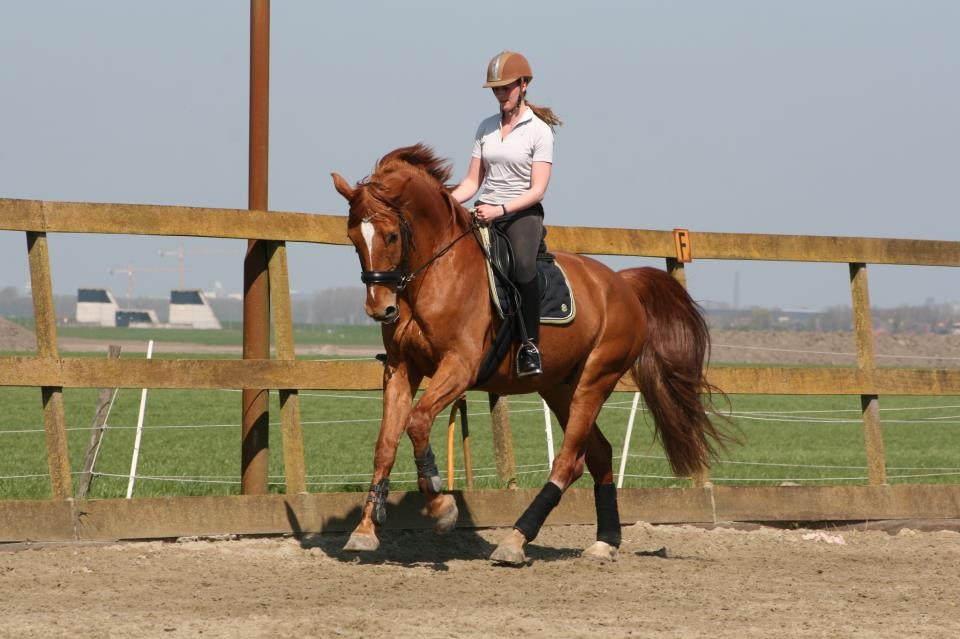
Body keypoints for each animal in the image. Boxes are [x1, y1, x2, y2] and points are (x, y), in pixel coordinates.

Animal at [331, 144, 727, 565]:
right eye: (353, 238)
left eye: (391, 236)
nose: (381, 309)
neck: (435, 274)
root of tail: (622, 284)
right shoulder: (401, 368)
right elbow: (385, 444)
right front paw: (364, 530)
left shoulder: (459, 366)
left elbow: (418, 421)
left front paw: (441, 505)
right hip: (558, 387)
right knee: (598, 454)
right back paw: (605, 541)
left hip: (595, 380)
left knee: (569, 461)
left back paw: (516, 540)